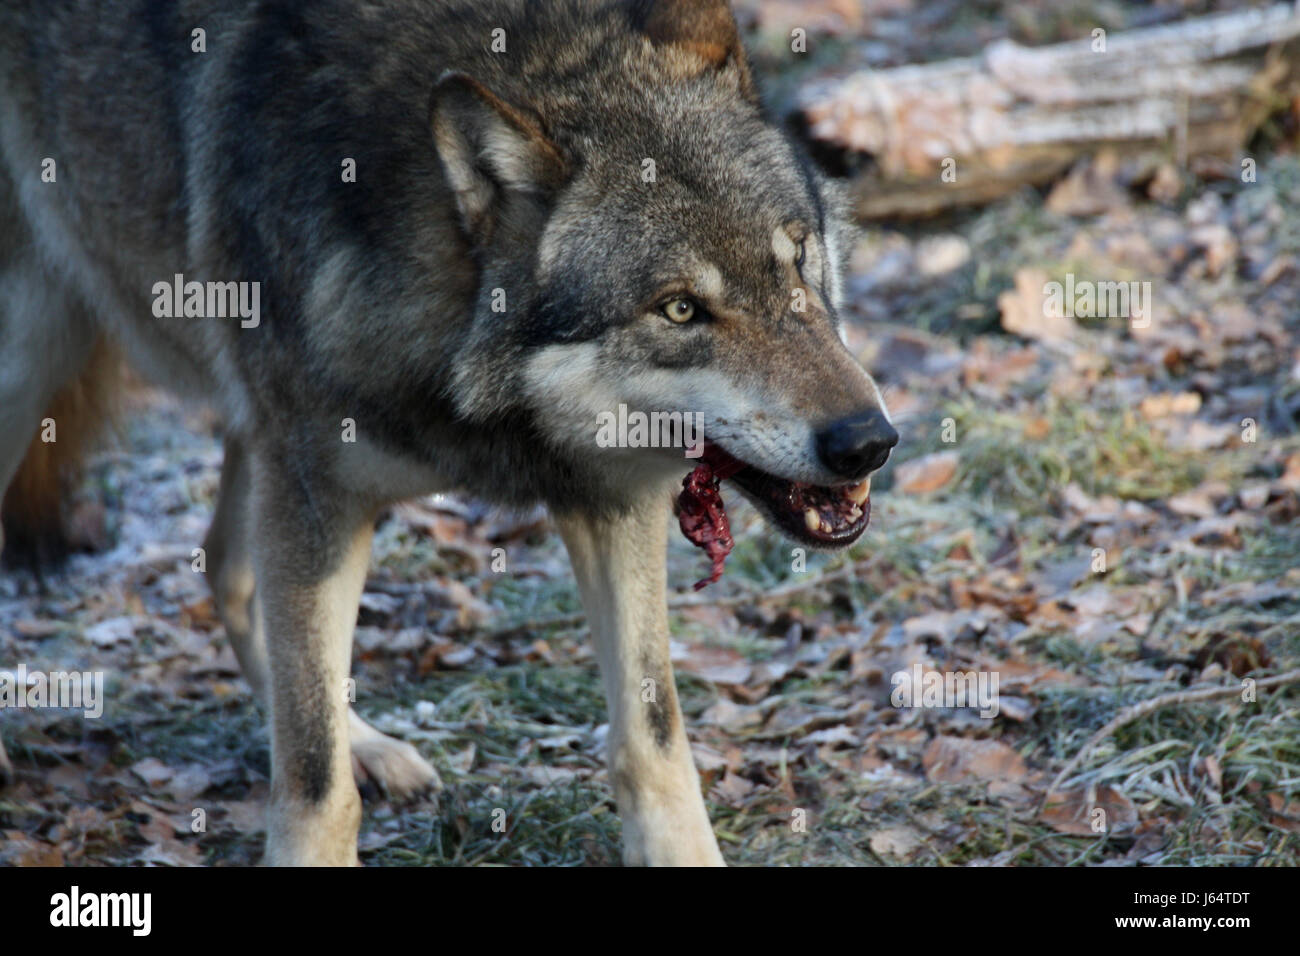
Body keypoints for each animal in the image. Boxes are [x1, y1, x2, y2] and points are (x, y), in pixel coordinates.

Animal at [0, 0, 897, 865]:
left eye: (798, 261)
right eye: (680, 309)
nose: (868, 440)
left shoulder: (610, 495)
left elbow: (654, 740)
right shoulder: (315, 494)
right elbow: (315, 780)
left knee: (228, 570)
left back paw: (366, 743)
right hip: (41, 365)